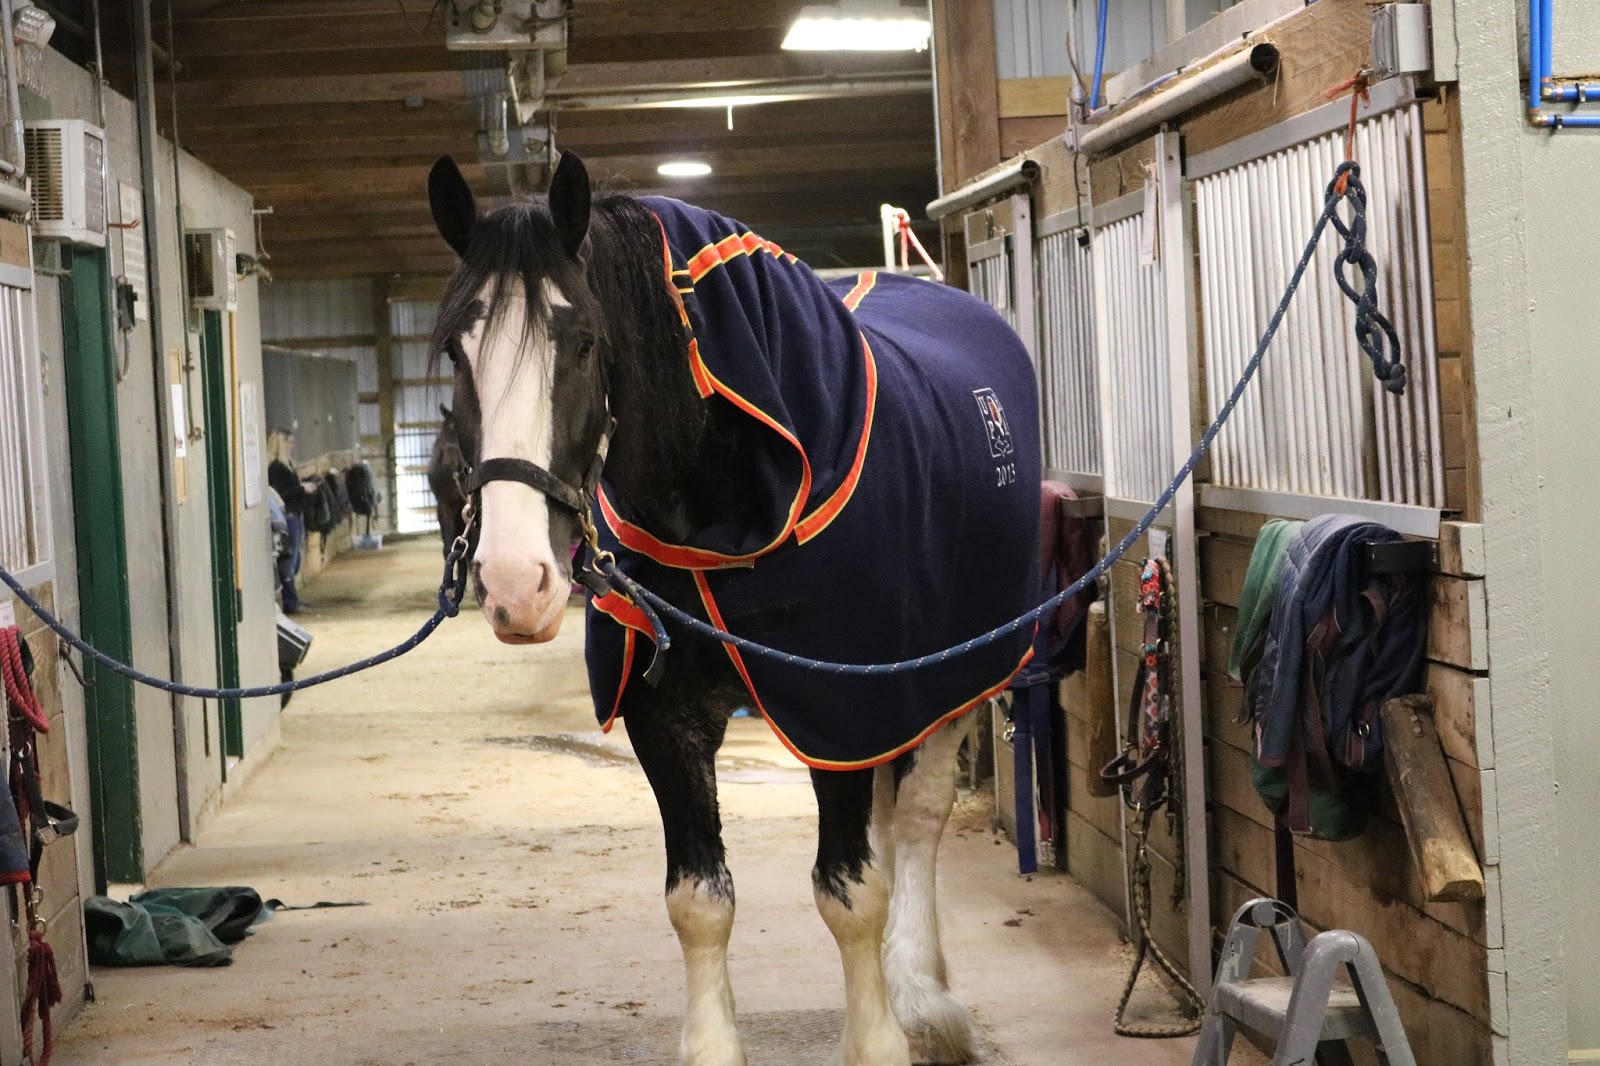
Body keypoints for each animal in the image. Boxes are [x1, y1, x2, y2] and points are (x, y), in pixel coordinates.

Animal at [425, 151, 1040, 1066]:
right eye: (456, 350)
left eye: (584, 341)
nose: (512, 582)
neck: (724, 510)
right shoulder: (667, 713)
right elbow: (699, 900)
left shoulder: (841, 700)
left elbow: (851, 894)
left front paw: (880, 1039)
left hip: (956, 675)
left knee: (918, 820)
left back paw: (922, 997)